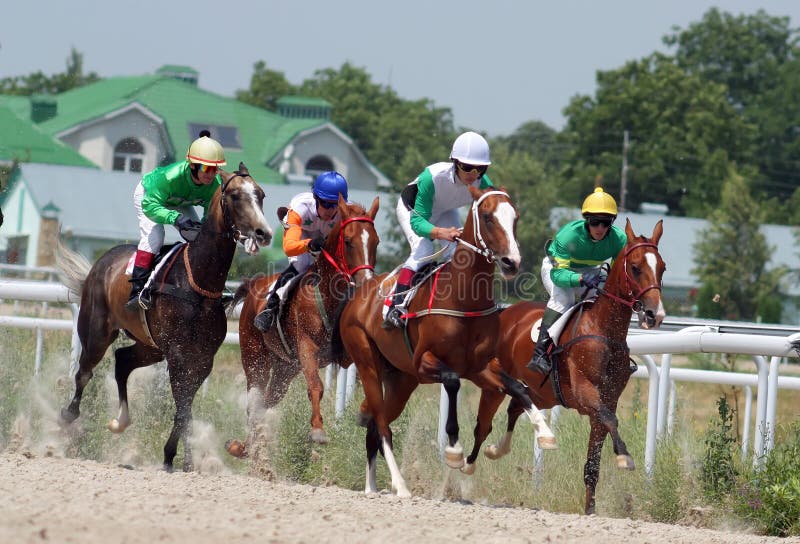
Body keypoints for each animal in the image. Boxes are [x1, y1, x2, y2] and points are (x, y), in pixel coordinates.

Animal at [56, 163, 273, 471]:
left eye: (261, 194)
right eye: (234, 196)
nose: (263, 232)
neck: (197, 282)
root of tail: (103, 261)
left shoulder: (202, 358)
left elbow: (185, 408)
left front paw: (181, 459)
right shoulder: (178, 353)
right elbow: (182, 408)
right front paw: (177, 458)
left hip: (150, 347)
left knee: (122, 360)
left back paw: (120, 421)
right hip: (98, 331)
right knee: (84, 371)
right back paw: (68, 415)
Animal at [225, 196, 379, 457]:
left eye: (376, 242)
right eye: (348, 242)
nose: (366, 285)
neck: (328, 295)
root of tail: (255, 285)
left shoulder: (346, 354)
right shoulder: (307, 347)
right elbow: (316, 386)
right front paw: (317, 430)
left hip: (286, 368)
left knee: (268, 400)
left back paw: (246, 445)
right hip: (255, 357)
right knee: (255, 401)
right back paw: (245, 445)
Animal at [336, 186, 557, 498]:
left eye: (515, 217)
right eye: (487, 217)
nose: (511, 262)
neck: (463, 298)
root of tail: (362, 291)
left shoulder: (479, 367)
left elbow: (517, 387)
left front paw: (544, 431)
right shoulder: (425, 363)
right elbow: (452, 382)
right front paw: (453, 449)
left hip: (401, 380)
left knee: (375, 428)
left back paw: (371, 486)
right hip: (367, 364)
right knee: (381, 424)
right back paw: (400, 484)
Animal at [464, 218, 665, 514]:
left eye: (663, 267)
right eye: (636, 267)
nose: (655, 314)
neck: (603, 329)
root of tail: (503, 313)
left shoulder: (607, 399)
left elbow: (595, 458)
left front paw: (590, 509)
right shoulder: (586, 392)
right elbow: (611, 419)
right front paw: (625, 457)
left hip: (544, 393)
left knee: (515, 408)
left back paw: (506, 447)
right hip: (495, 382)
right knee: (484, 424)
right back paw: (466, 463)